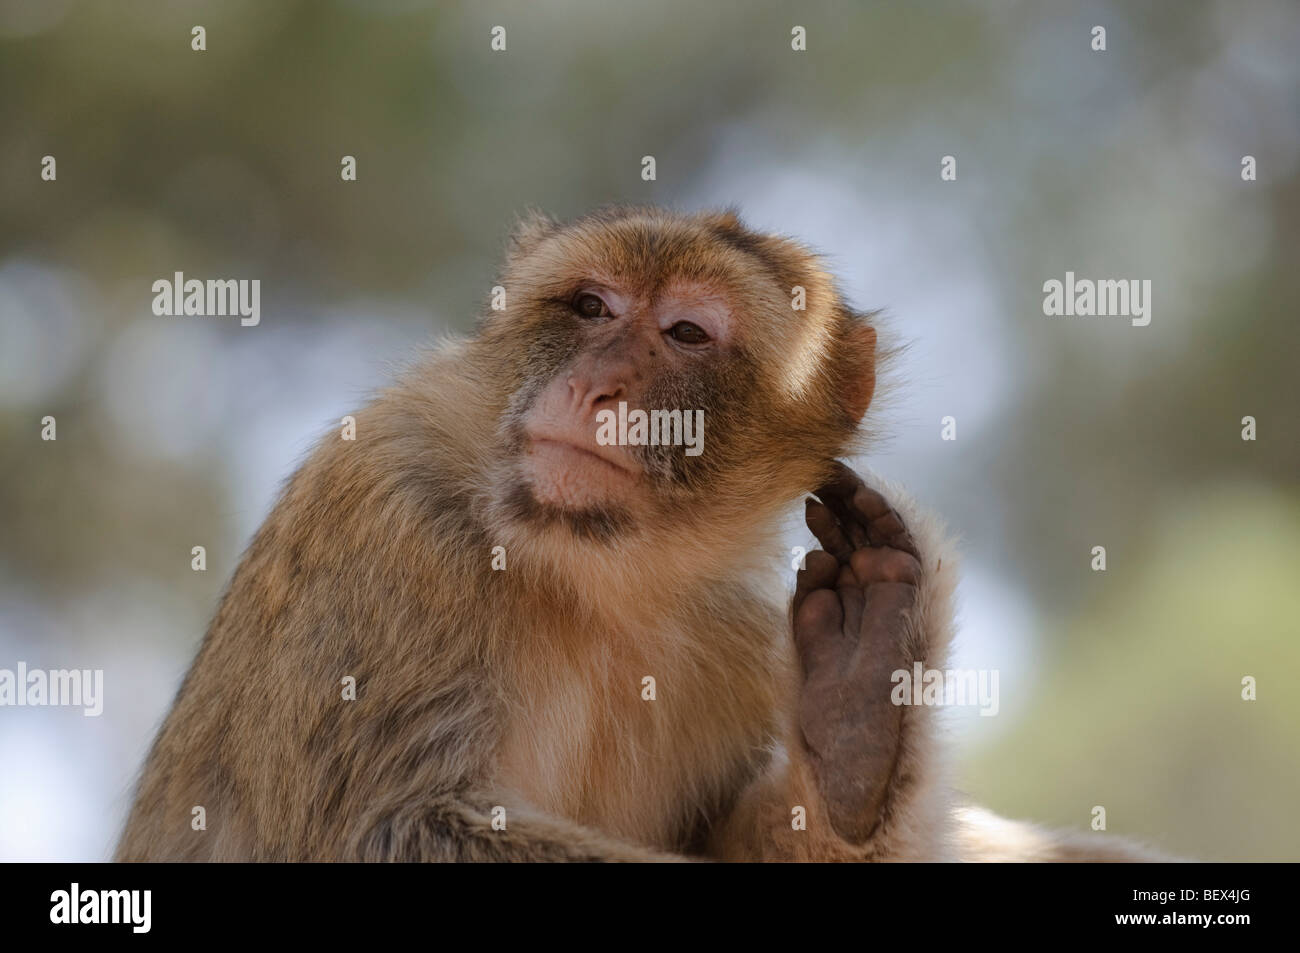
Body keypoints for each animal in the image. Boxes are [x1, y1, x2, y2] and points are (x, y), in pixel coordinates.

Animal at [116, 206, 1170, 862]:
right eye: (592, 307)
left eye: (687, 334)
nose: (597, 384)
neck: (594, 573)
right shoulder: (387, 512)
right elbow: (385, 828)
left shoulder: (736, 628)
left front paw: (857, 716)